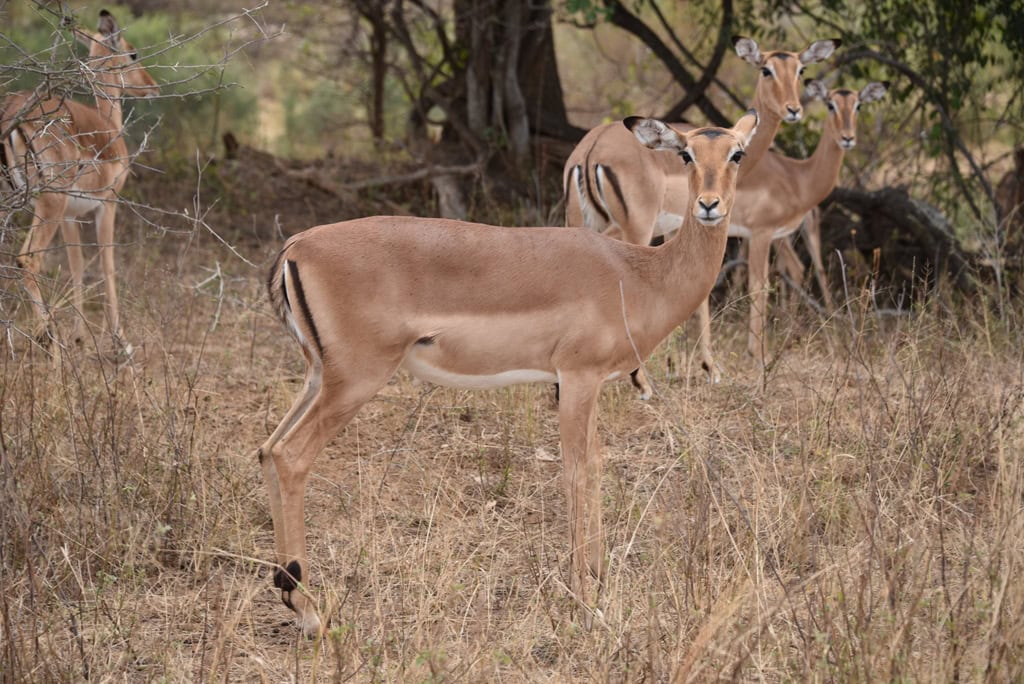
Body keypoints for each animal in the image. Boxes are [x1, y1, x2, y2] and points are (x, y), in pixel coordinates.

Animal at [1, 9, 158, 351]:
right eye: (132, 53)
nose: (152, 86)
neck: (110, 127)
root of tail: (13, 118)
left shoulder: (70, 216)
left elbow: (76, 266)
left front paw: (80, 336)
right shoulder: (107, 203)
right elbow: (107, 265)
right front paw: (120, 341)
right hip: (49, 202)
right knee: (27, 259)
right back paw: (47, 337)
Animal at [256, 111, 758, 637]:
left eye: (736, 153)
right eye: (685, 154)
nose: (709, 205)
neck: (637, 274)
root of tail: (296, 246)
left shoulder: (592, 385)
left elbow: (595, 465)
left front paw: (598, 582)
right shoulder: (575, 379)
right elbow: (576, 471)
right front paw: (585, 601)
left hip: (319, 376)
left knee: (268, 450)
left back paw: (291, 595)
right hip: (356, 379)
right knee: (291, 456)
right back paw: (310, 611)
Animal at [564, 36, 840, 395]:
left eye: (800, 69)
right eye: (766, 69)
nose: (793, 109)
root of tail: (590, 150)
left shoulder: (673, 230)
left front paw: (678, 364)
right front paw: (714, 367)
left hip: (583, 220)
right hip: (634, 228)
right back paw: (642, 381)